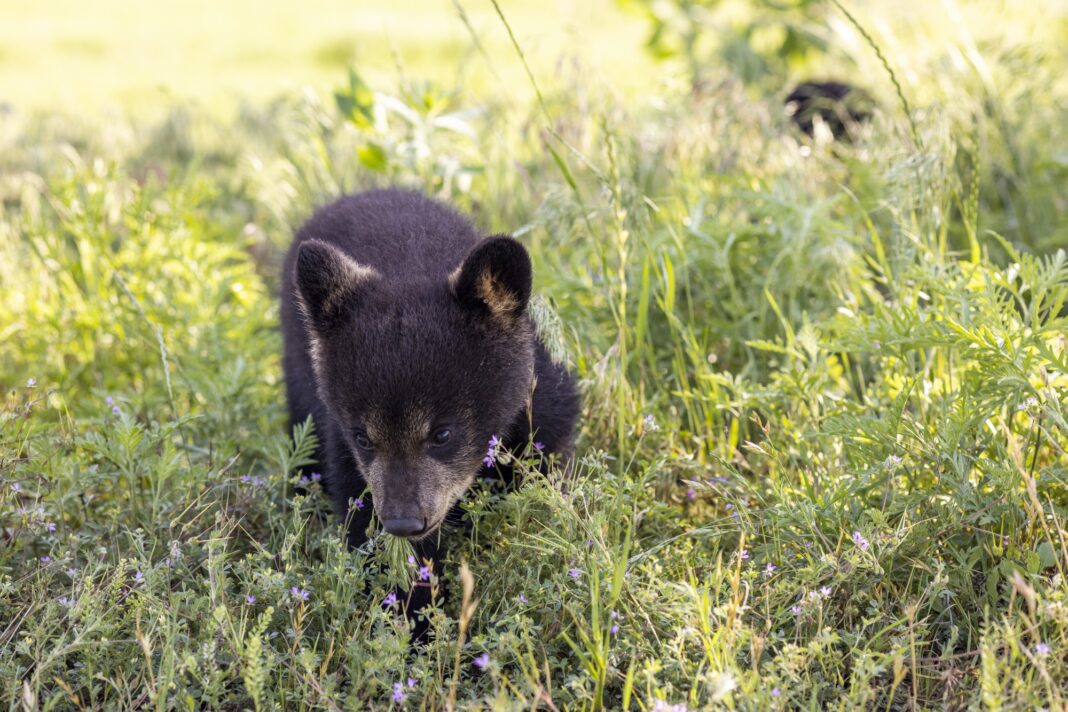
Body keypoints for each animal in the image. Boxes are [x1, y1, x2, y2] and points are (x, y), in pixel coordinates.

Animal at [280, 188, 579, 636]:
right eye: (362, 437)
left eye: (442, 433)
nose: (403, 522)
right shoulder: (345, 451)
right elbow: (366, 523)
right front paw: (413, 623)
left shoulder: (543, 408)